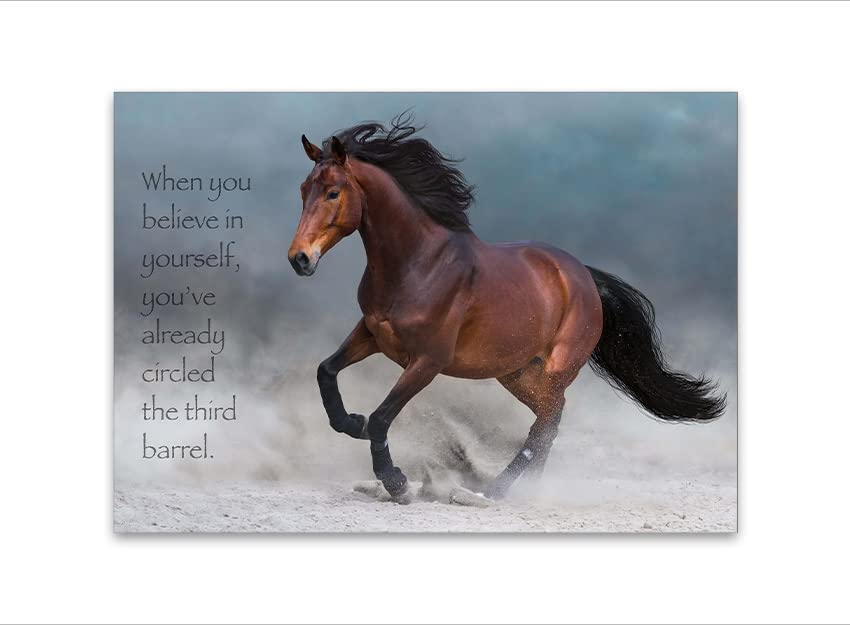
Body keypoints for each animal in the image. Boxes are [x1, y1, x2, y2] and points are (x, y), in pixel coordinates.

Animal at [287, 114, 726, 501]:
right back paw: (522, 488)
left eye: (333, 192)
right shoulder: (372, 333)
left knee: (547, 422)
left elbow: (382, 417)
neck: (418, 264)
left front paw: (395, 481)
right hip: (517, 372)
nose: (300, 259)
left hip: (555, 369)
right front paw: (351, 422)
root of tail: (584, 276)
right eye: (304, 190)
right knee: (549, 420)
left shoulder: (427, 360)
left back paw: (496, 491)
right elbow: (326, 371)